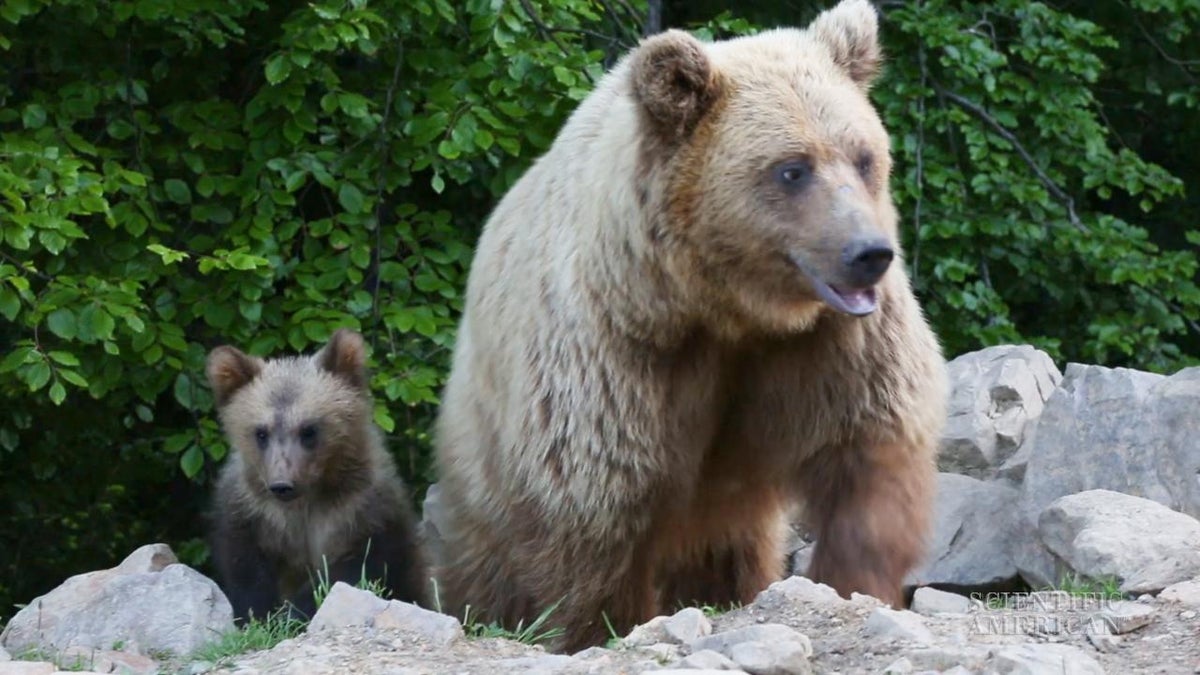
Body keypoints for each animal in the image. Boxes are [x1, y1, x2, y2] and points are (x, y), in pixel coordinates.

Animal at [205, 328, 428, 622]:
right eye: (261, 432)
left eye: (309, 429)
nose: (282, 485)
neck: (308, 501)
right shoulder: (252, 513)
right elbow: (247, 571)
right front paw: (260, 614)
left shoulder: (363, 512)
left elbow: (351, 569)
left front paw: (294, 612)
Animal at [432, 0, 947, 653]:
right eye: (792, 169)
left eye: (864, 157)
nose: (869, 253)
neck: (724, 305)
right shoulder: (619, 351)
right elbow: (596, 501)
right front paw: (604, 626)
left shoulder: (830, 344)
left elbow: (869, 451)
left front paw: (854, 584)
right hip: (484, 446)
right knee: (486, 552)